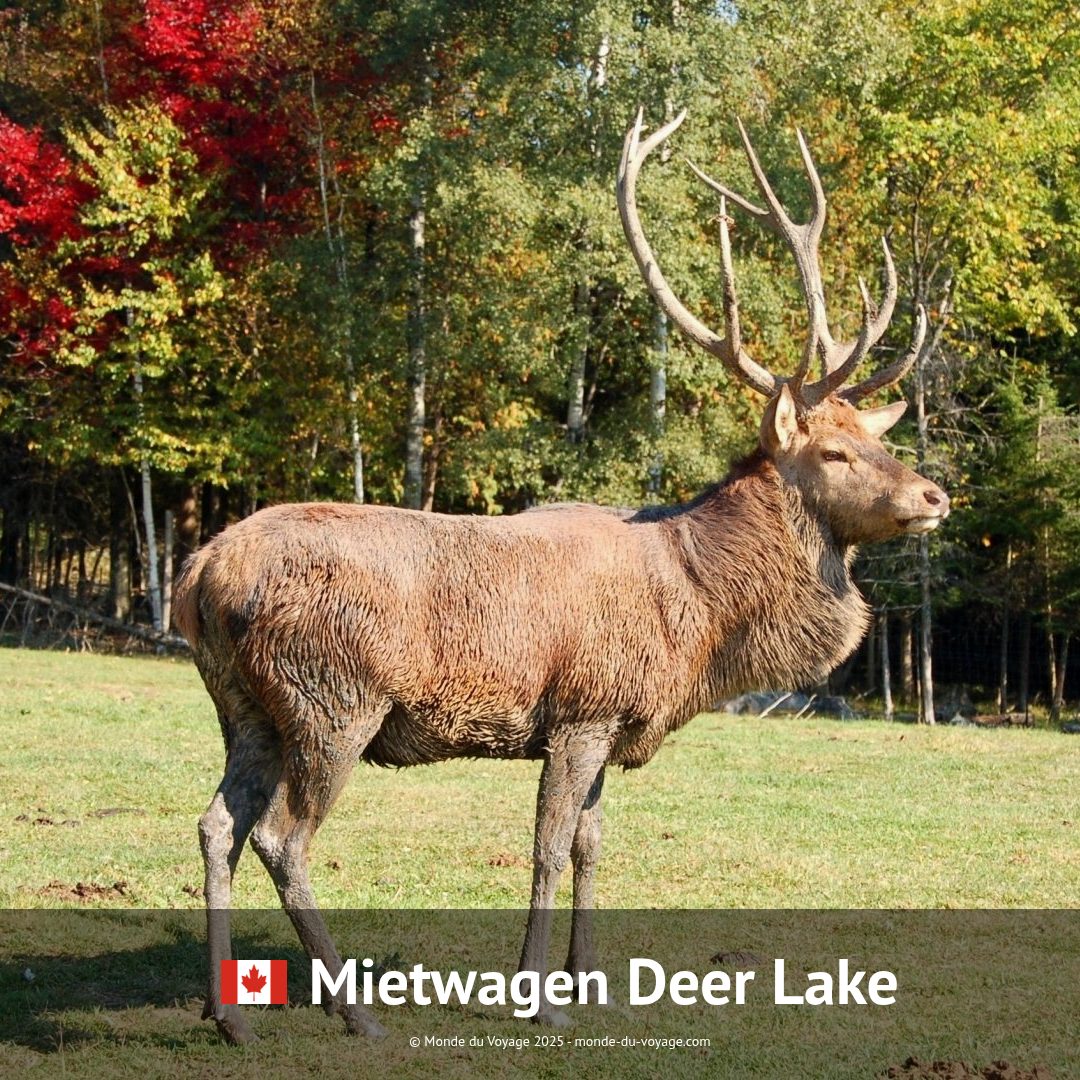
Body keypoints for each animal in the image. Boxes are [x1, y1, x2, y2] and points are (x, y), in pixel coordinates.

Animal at [174, 109, 949, 1043]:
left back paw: (228, 1012)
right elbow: (546, 845)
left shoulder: (614, 718)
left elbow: (589, 843)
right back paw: (356, 1012)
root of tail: (198, 574)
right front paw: (538, 997)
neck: (696, 614)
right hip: (334, 698)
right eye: (834, 452)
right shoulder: (582, 710)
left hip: (245, 705)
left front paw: (591, 982)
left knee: (217, 822)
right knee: (281, 835)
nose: (934, 494)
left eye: (875, 437)